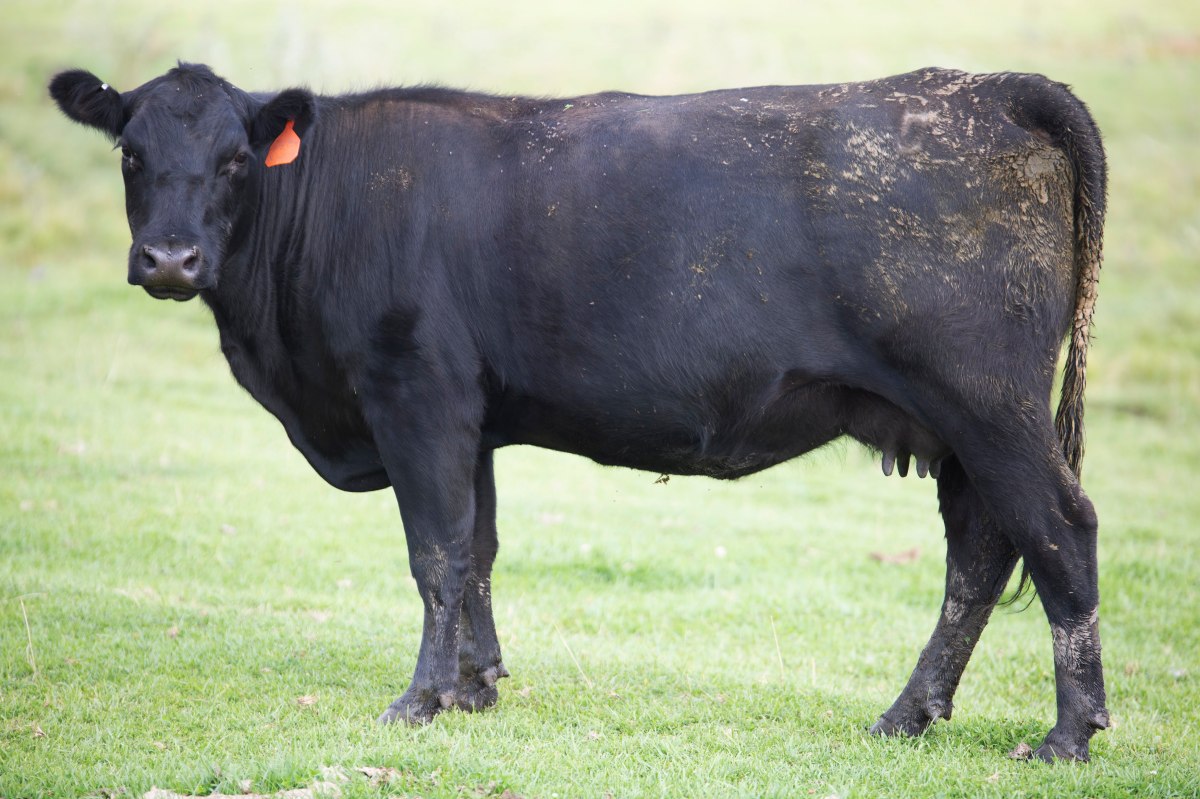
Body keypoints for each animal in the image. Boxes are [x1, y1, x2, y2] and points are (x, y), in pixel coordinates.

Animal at [50, 62, 1108, 761]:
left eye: (236, 159)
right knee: (980, 553)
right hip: (956, 427)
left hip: (988, 404)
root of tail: (987, 88)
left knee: (1059, 531)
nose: (171, 259)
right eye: (130, 154)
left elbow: (434, 552)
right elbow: (476, 548)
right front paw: (475, 685)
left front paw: (419, 699)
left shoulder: (414, 394)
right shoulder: (472, 414)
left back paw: (1068, 733)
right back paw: (907, 714)